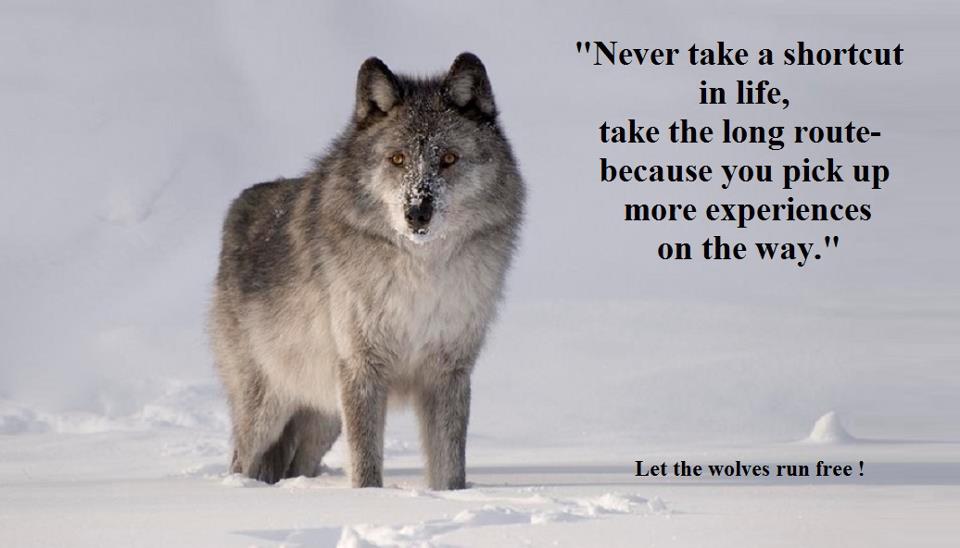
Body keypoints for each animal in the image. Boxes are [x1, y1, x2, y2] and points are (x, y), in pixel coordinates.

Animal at [209, 53, 524, 490]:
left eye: (448, 159)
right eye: (397, 159)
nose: (417, 212)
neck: (420, 274)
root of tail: (237, 207)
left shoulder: (448, 372)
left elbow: (449, 466)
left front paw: (451, 496)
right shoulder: (362, 369)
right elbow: (365, 462)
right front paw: (369, 500)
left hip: (323, 418)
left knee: (298, 464)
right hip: (268, 408)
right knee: (243, 460)